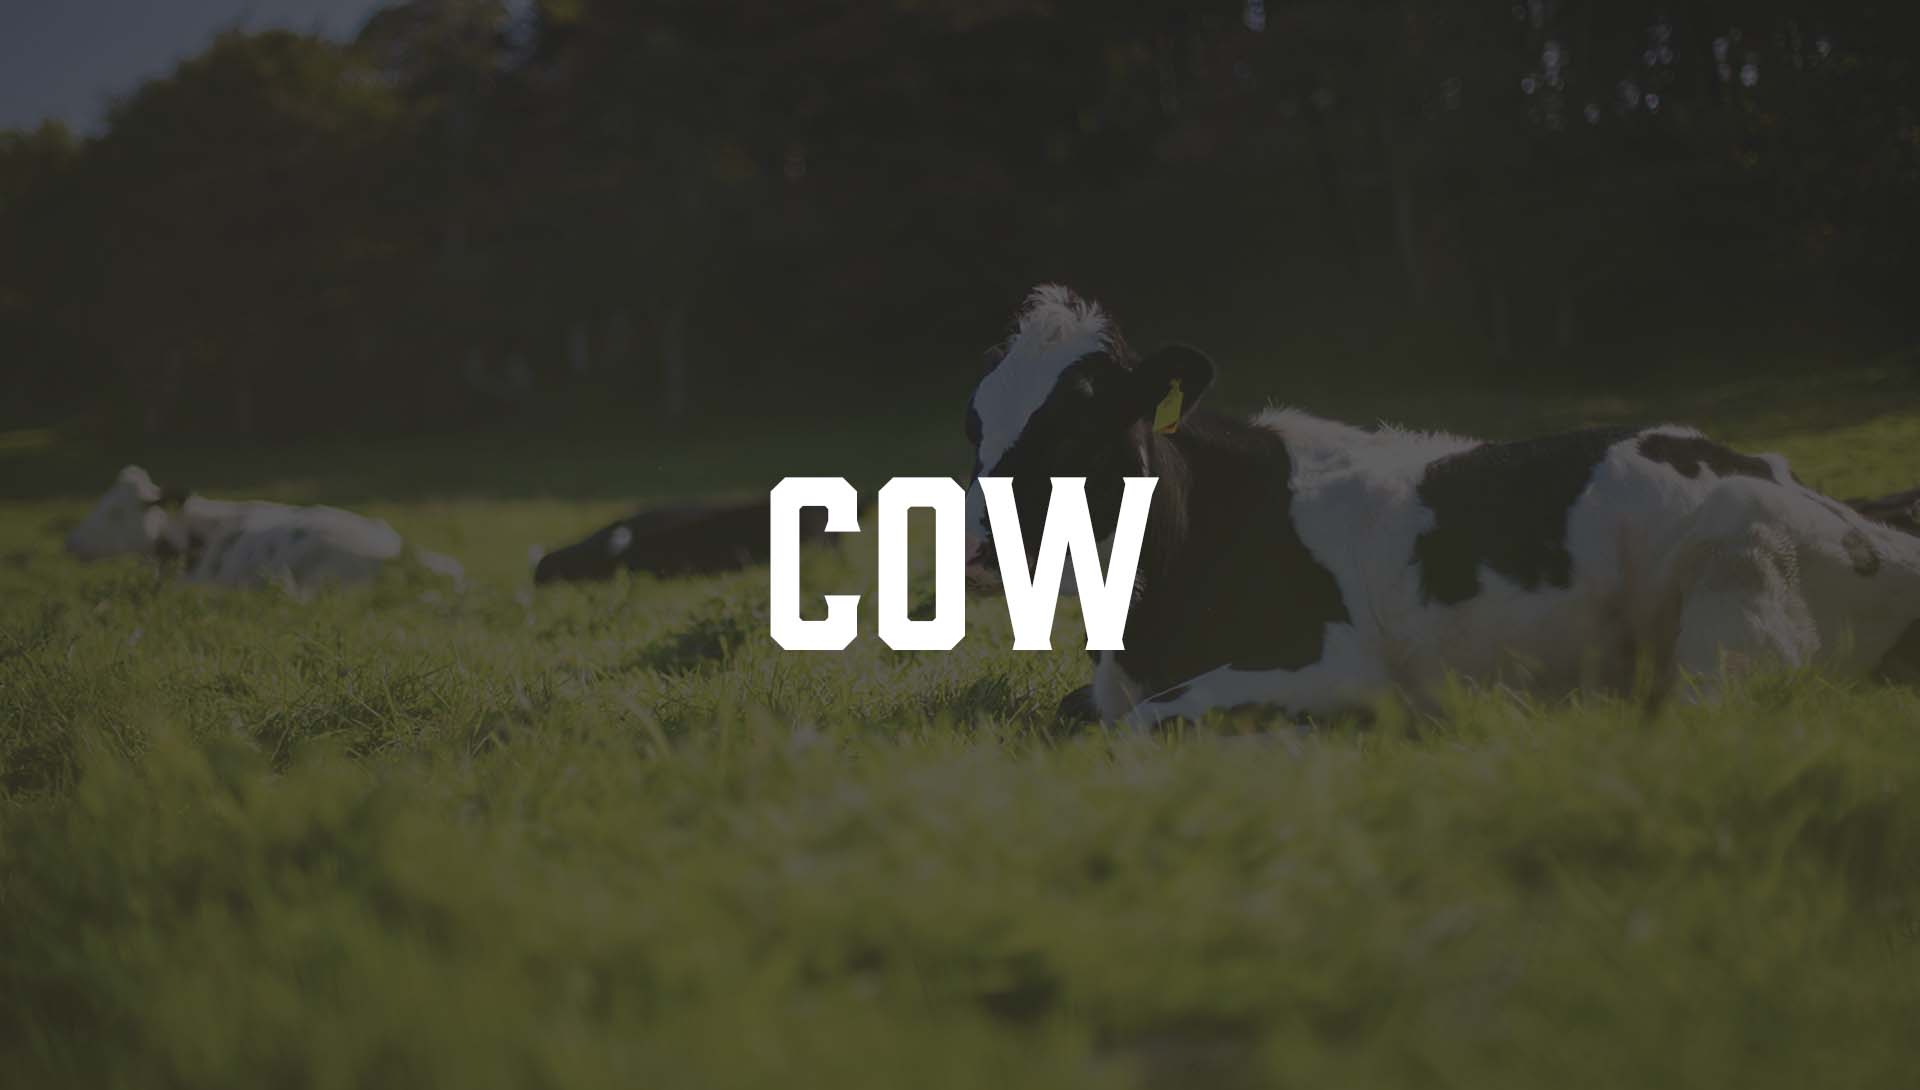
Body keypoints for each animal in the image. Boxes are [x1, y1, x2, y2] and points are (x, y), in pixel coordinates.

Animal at [962, 285, 1920, 727]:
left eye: (1081, 423)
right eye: (974, 420)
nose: (975, 547)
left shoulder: (1334, 663)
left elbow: (1137, 727)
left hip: (1736, 587)